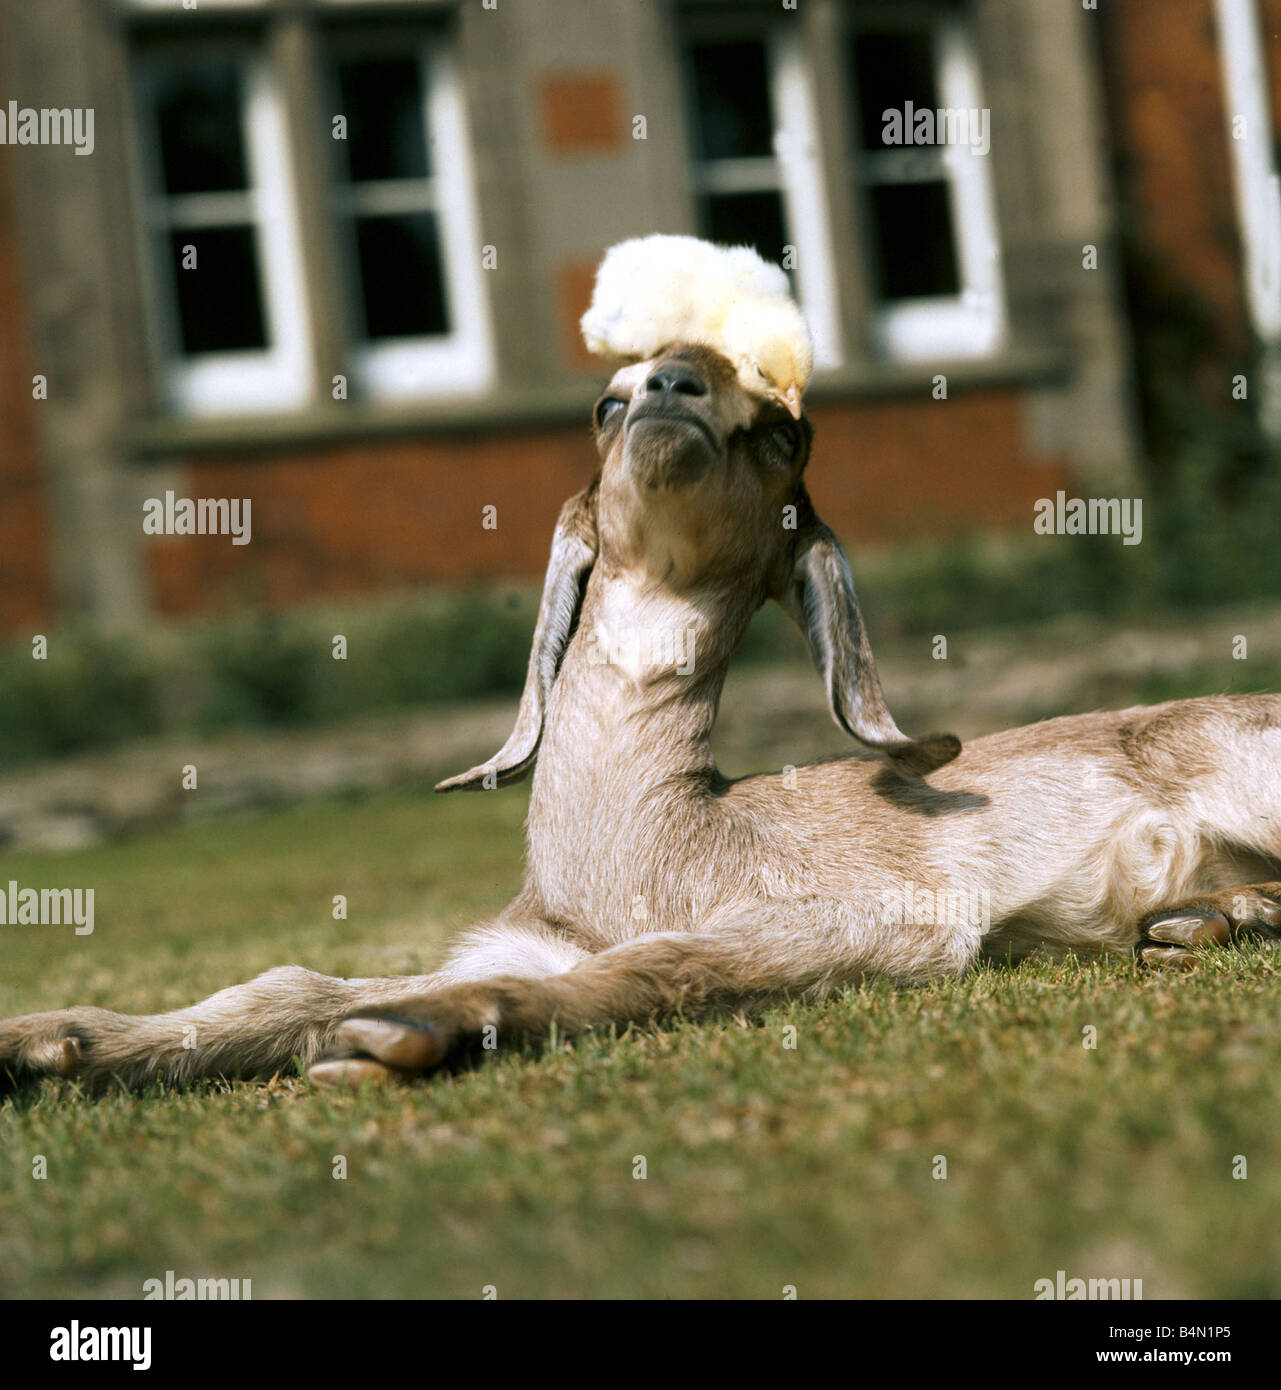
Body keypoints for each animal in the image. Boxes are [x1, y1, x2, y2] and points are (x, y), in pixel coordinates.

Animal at [3, 340, 1281, 1092]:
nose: (675, 381)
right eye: (606, 403)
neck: (642, 855)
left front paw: (413, 1035)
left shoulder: (887, 920)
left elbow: (670, 965)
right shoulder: (524, 930)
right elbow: (285, 985)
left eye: (786, 427)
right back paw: (1203, 919)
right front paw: (47, 1041)